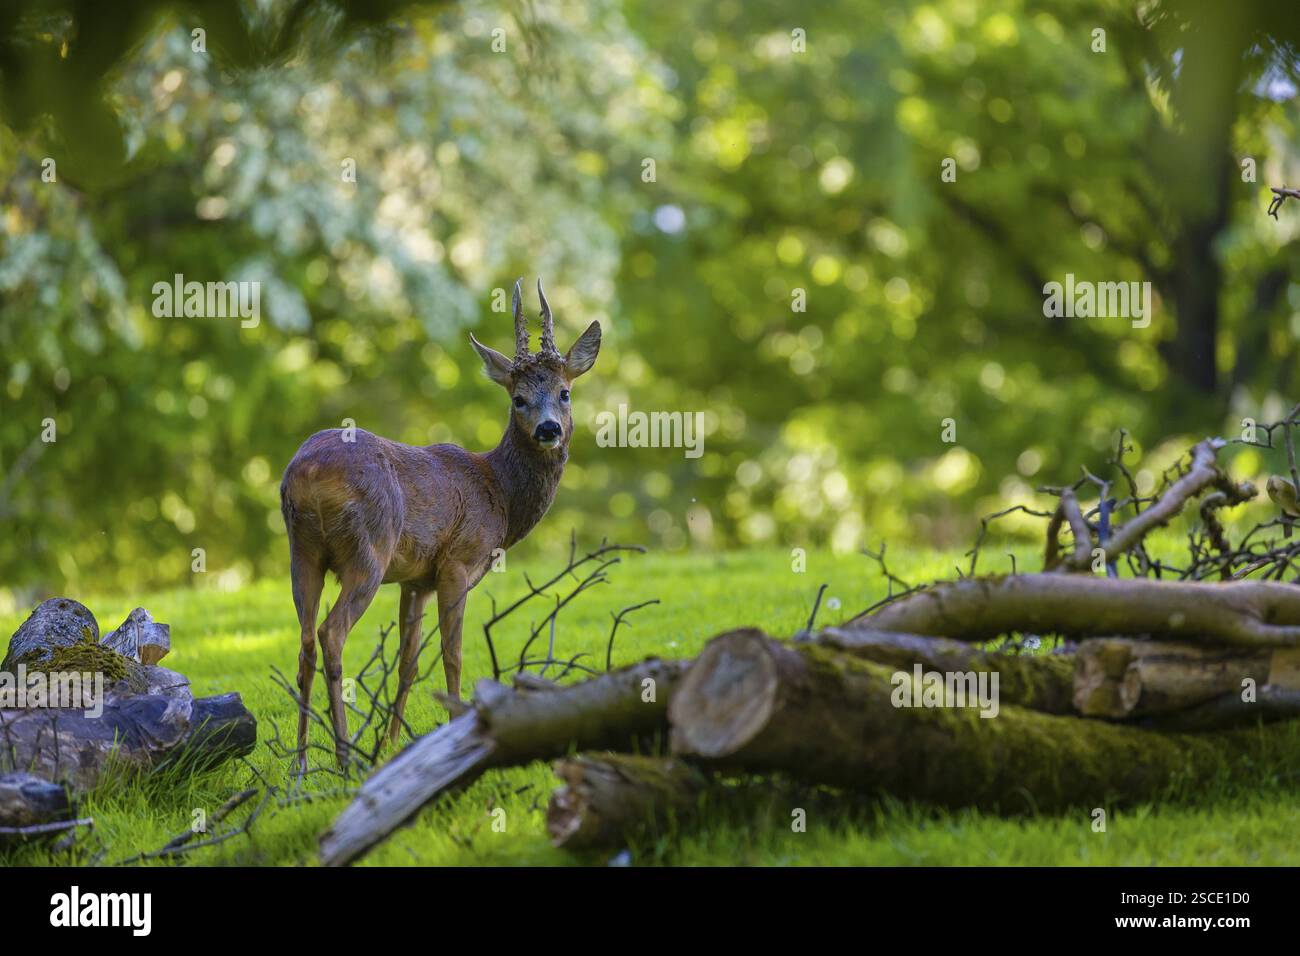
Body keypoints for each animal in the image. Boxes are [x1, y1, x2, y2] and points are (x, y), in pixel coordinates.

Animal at [279, 279, 601, 770]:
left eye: (565, 392)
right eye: (518, 398)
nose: (549, 429)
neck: (500, 494)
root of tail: (308, 472)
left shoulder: (416, 580)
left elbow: (408, 660)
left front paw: (392, 743)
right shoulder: (457, 562)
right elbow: (453, 654)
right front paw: (455, 729)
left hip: (303, 552)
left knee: (304, 643)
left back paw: (300, 759)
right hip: (369, 548)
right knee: (331, 633)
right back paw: (344, 754)